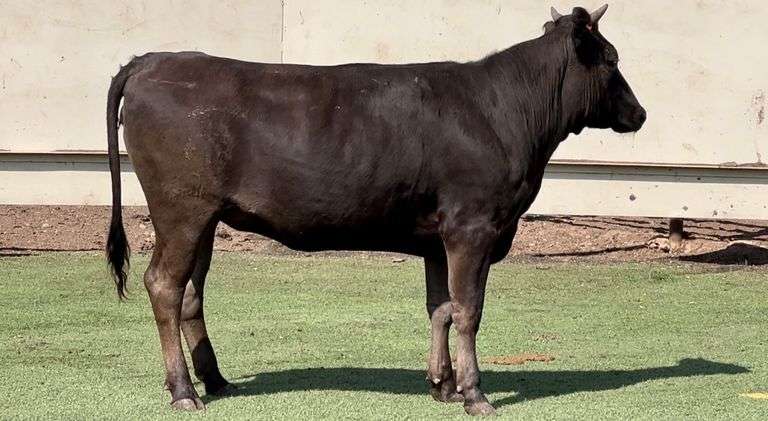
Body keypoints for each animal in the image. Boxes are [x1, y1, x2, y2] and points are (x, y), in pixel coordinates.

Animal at [106, 5, 645, 415]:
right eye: (612, 59)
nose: (640, 113)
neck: (505, 112)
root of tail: (153, 60)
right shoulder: (473, 227)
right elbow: (468, 310)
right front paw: (474, 395)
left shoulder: (438, 237)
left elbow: (440, 308)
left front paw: (442, 386)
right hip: (181, 209)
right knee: (165, 285)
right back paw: (184, 392)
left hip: (205, 217)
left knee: (191, 293)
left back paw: (216, 380)